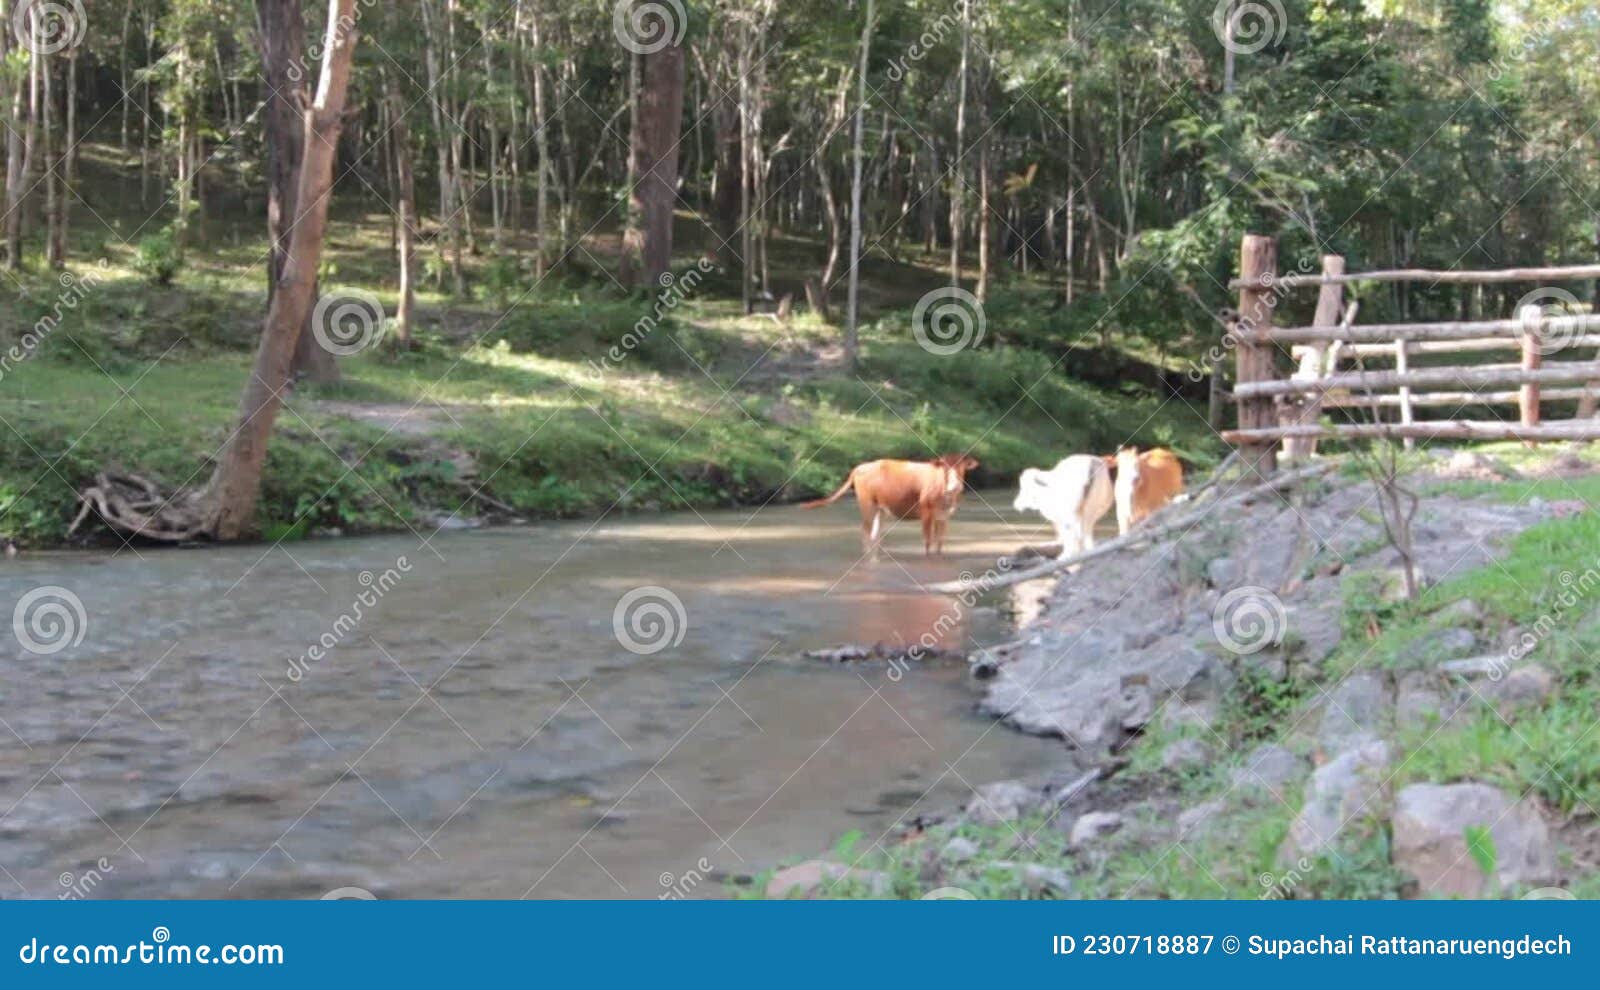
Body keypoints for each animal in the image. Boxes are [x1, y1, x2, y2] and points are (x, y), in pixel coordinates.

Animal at [802, 454, 979, 557]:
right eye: (945, 468)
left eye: (962, 468)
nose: (955, 486)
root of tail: (861, 466)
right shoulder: (926, 511)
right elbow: (928, 540)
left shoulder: (944, 515)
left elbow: (940, 541)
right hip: (867, 504)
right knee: (865, 529)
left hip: (880, 508)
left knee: (875, 533)